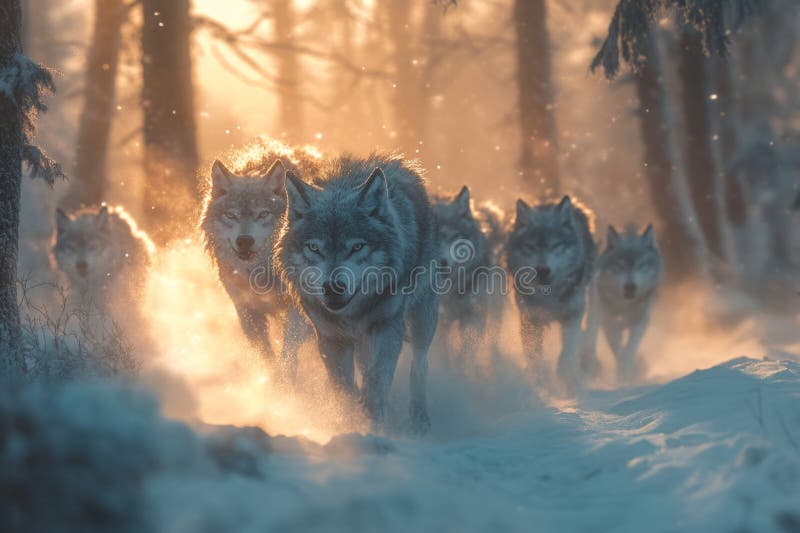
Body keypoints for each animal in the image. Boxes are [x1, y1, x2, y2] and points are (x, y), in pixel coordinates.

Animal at [199, 140, 319, 378]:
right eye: (231, 215)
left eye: (263, 214)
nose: (245, 241)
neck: (261, 273)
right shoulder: (247, 310)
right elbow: (265, 353)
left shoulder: (299, 308)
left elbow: (289, 348)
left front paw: (287, 379)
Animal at [275, 153, 439, 433]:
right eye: (314, 248)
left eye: (357, 247)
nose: (333, 287)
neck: (350, 315)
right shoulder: (330, 338)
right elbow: (343, 388)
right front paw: (350, 420)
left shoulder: (386, 327)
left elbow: (377, 379)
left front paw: (373, 421)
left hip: (422, 320)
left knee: (420, 364)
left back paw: (419, 420)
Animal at [506, 196, 596, 391]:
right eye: (531, 247)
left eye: (555, 245)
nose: (542, 270)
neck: (549, 295)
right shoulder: (530, 320)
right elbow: (534, 357)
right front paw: (540, 382)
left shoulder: (573, 315)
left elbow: (567, 353)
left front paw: (565, 377)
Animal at [586, 225, 662, 385]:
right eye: (620, 266)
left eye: (640, 265)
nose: (630, 286)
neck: (624, 306)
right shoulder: (609, 325)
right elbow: (619, 352)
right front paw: (621, 377)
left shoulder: (641, 322)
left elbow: (629, 351)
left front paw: (627, 373)